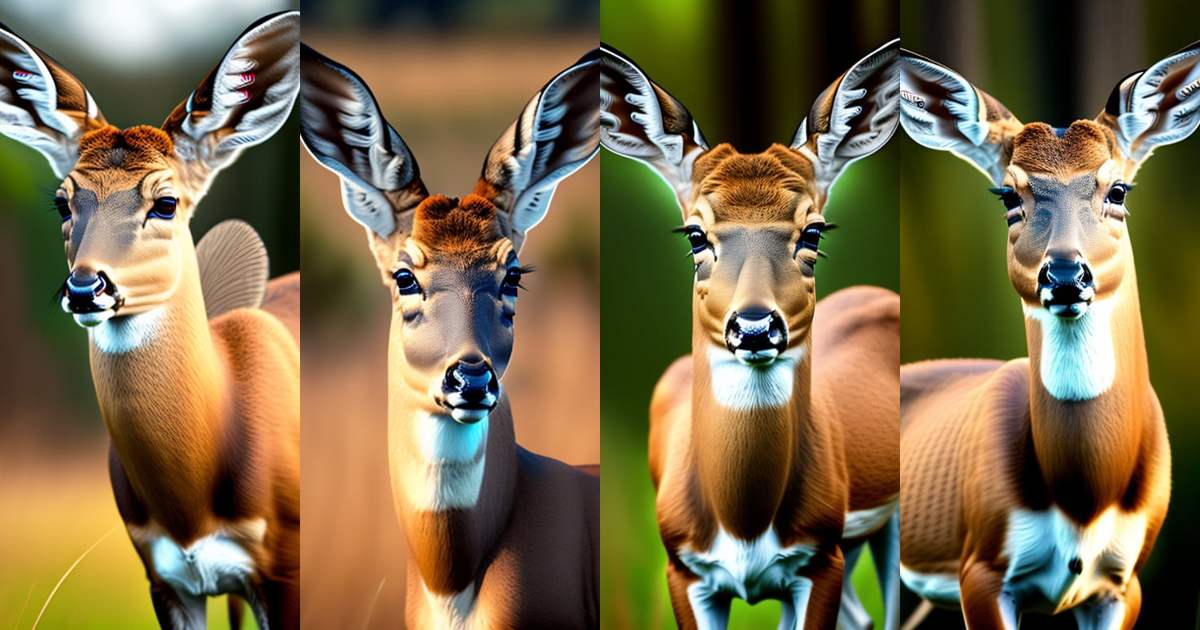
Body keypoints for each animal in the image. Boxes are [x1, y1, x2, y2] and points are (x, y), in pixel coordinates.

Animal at [599, 41, 901, 630]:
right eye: (695, 234)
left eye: (813, 231)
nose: (757, 325)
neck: (743, 521)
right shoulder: (682, 568)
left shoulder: (819, 558)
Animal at [896, 40, 1199, 629]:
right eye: (1008, 196)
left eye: (1118, 188)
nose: (1062, 275)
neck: (1084, 497)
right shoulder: (982, 570)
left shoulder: (1124, 583)